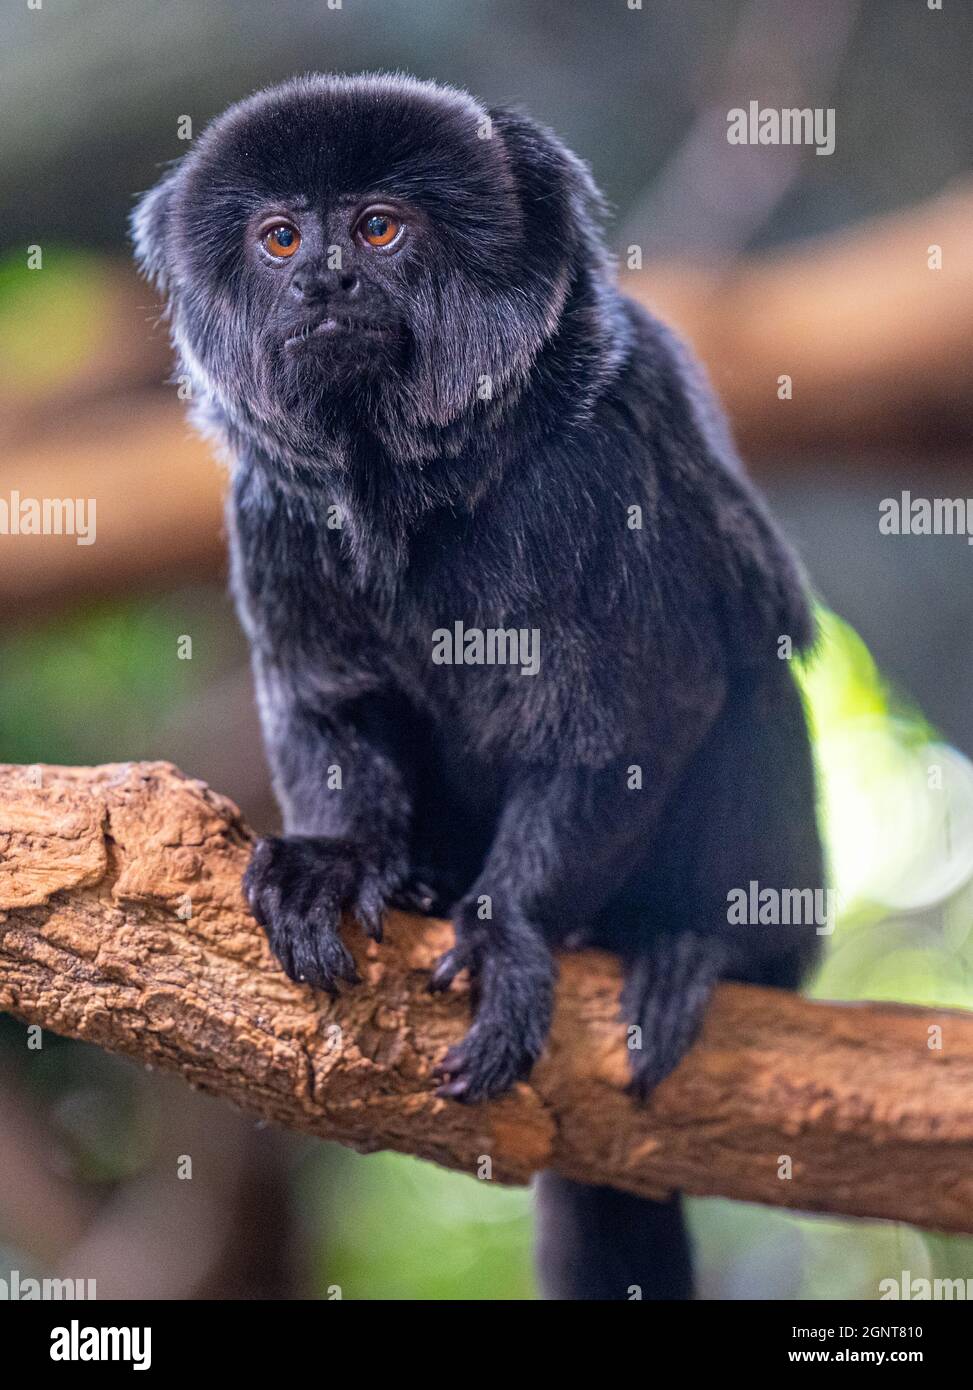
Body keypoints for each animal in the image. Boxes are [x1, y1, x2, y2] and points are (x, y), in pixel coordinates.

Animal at [132, 72, 823, 1301]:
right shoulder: (272, 502)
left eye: (377, 229)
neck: (416, 480)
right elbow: (330, 704)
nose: (323, 281)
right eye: (279, 238)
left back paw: (699, 949)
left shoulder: (602, 467)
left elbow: (636, 717)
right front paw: (342, 860)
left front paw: (512, 932)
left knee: (757, 677)